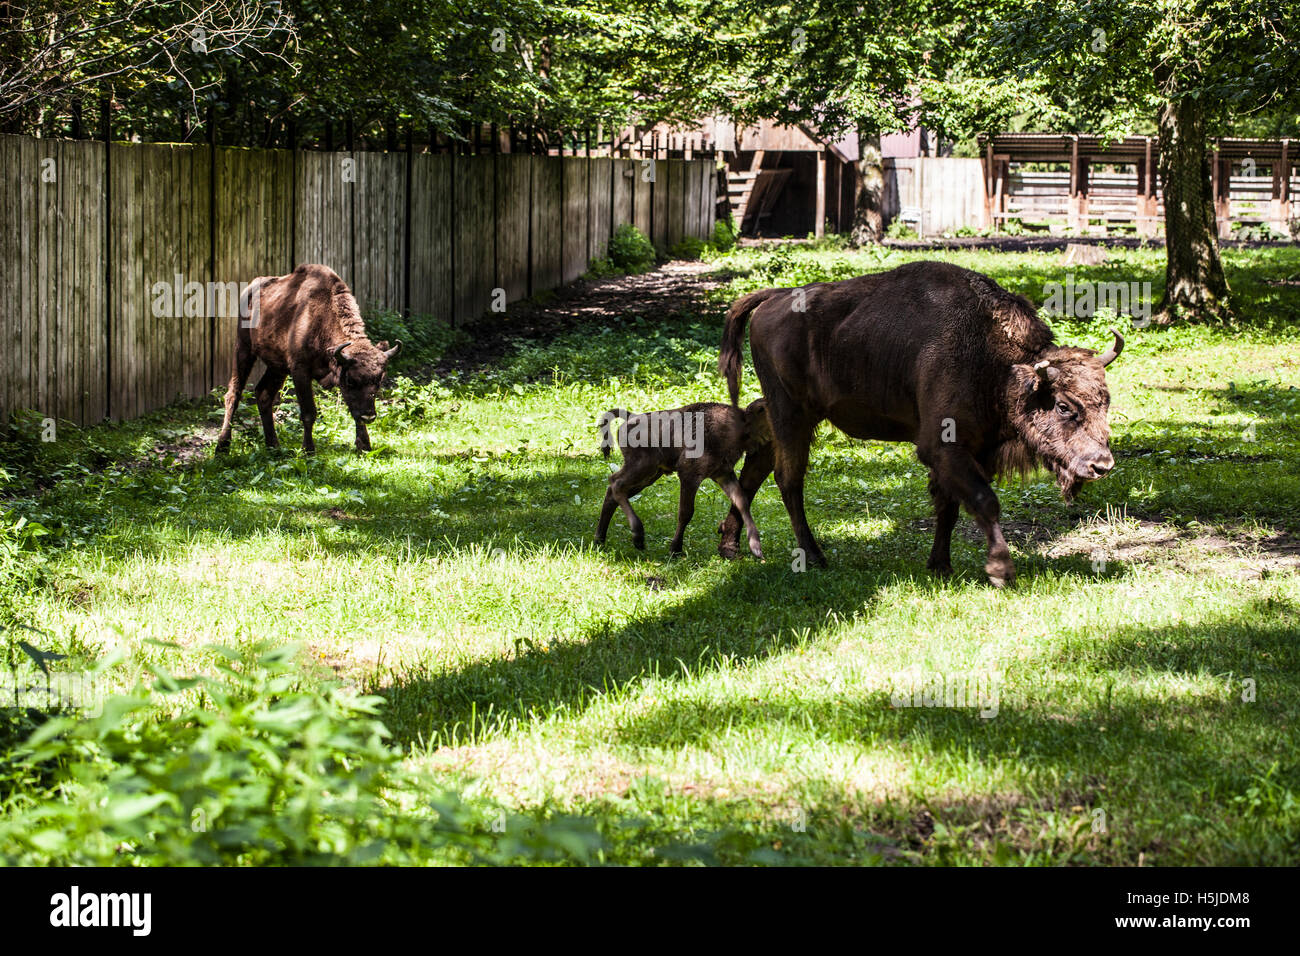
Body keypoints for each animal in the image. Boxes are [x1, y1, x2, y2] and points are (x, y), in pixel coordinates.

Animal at [717, 260, 1123, 586]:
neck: (1000, 366)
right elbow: (984, 501)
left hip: (791, 416)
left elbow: (950, 507)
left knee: (758, 465)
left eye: (1105, 401)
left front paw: (940, 565)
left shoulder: (975, 452)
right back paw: (814, 557)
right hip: (792, 414)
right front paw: (1000, 571)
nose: (1101, 465)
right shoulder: (943, 447)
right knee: (789, 479)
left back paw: (730, 545)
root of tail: (774, 297)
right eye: (1064, 406)